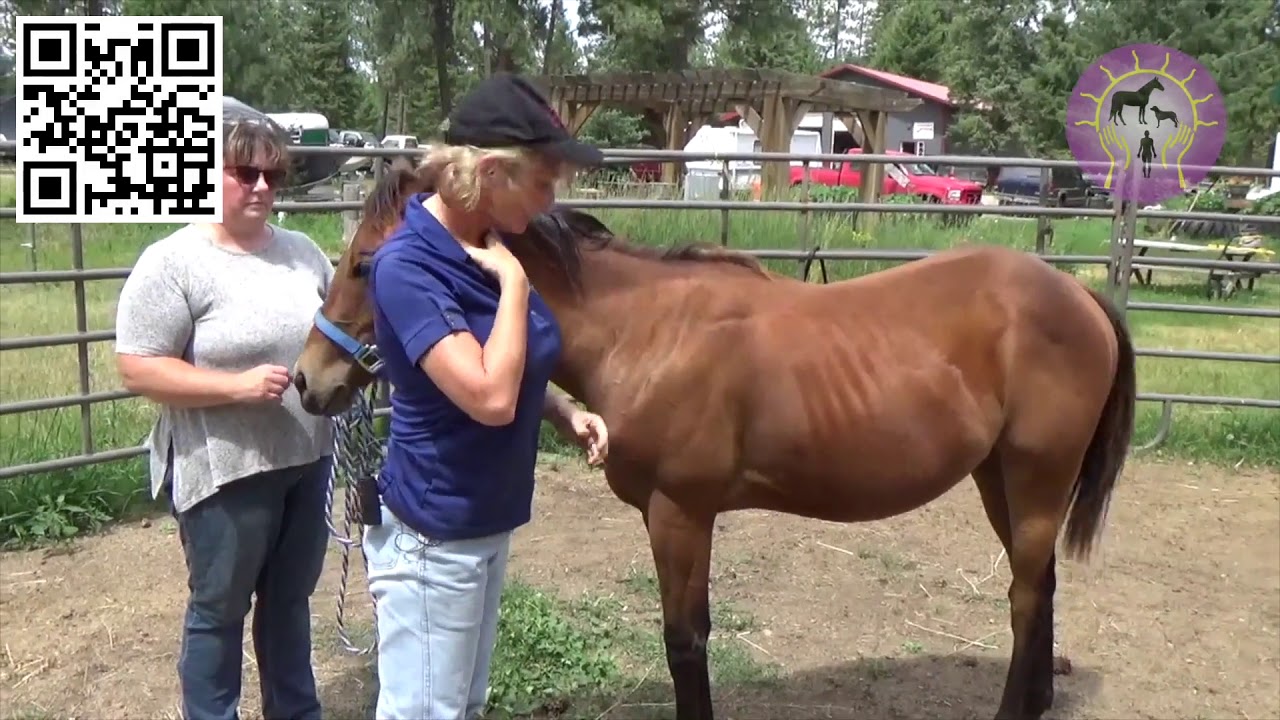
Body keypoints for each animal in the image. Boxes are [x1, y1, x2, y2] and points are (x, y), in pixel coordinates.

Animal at [291, 161, 1137, 720]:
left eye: (365, 261)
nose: (307, 381)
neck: (645, 334)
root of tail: (1078, 293)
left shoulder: (680, 513)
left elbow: (685, 641)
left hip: (1032, 480)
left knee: (1026, 597)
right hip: (1001, 480)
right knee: (1038, 588)